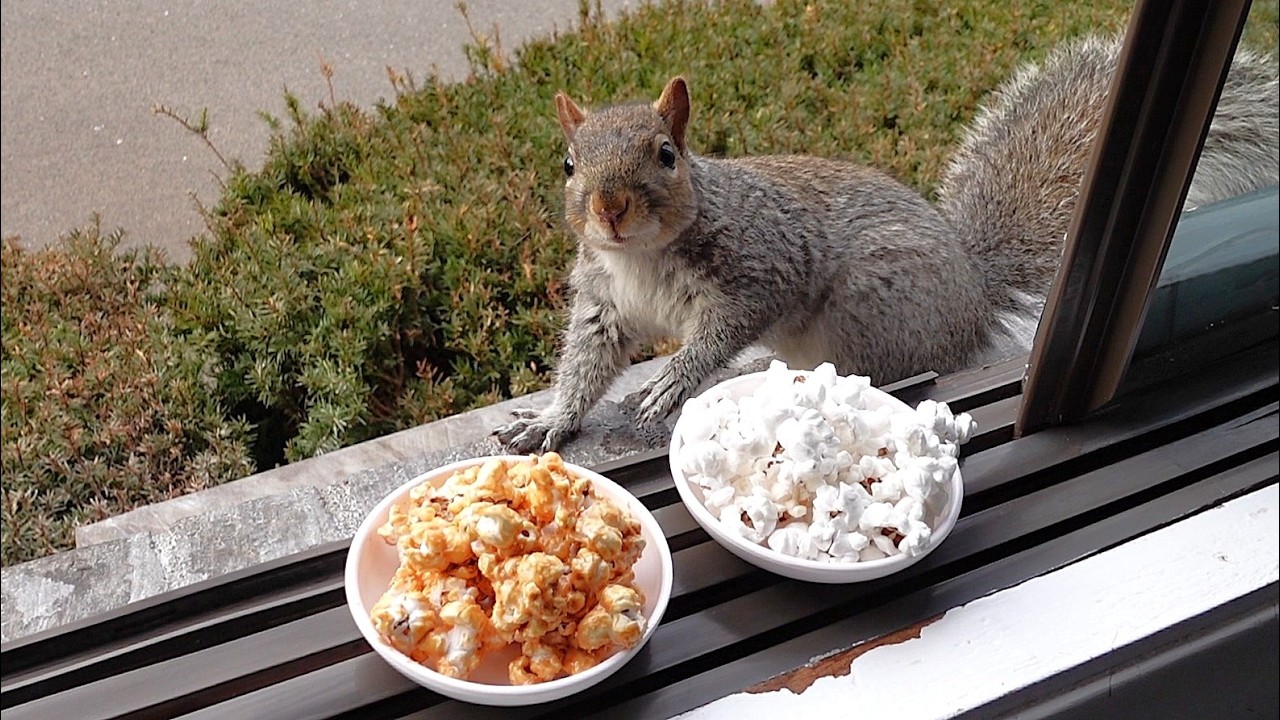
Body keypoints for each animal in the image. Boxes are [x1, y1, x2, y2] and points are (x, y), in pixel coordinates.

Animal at [495, 34, 1279, 453]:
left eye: (665, 155)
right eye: (568, 164)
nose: (609, 209)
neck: (639, 256)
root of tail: (973, 302)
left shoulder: (760, 264)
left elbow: (721, 330)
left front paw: (676, 379)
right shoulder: (603, 302)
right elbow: (588, 363)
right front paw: (548, 423)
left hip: (868, 306)